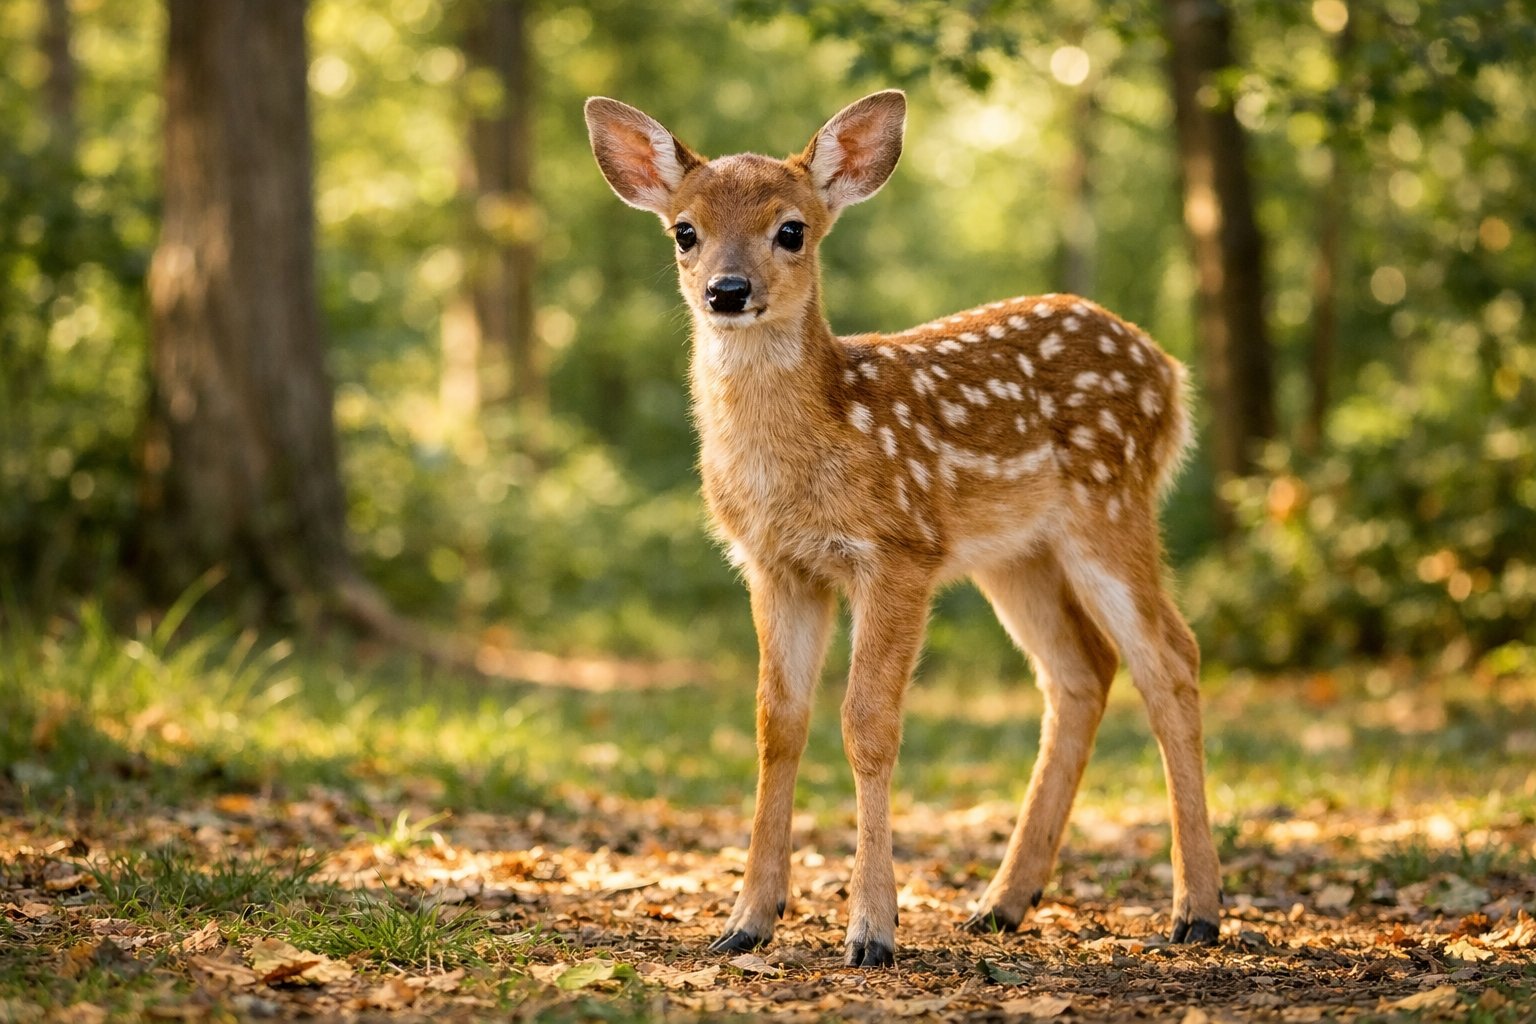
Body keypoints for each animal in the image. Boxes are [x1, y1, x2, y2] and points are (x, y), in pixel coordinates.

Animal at [584, 89, 1222, 968]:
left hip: (1112, 504)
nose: (727, 290)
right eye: (685, 229)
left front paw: (871, 931)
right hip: (1015, 553)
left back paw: (1196, 912)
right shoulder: (776, 566)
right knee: (1081, 672)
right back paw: (1001, 904)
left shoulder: (898, 551)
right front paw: (747, 920)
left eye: (793, 229)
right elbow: (777, 724)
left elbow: (867, 726)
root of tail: (1170, 371)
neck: (809, 450)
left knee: (1170, 657)